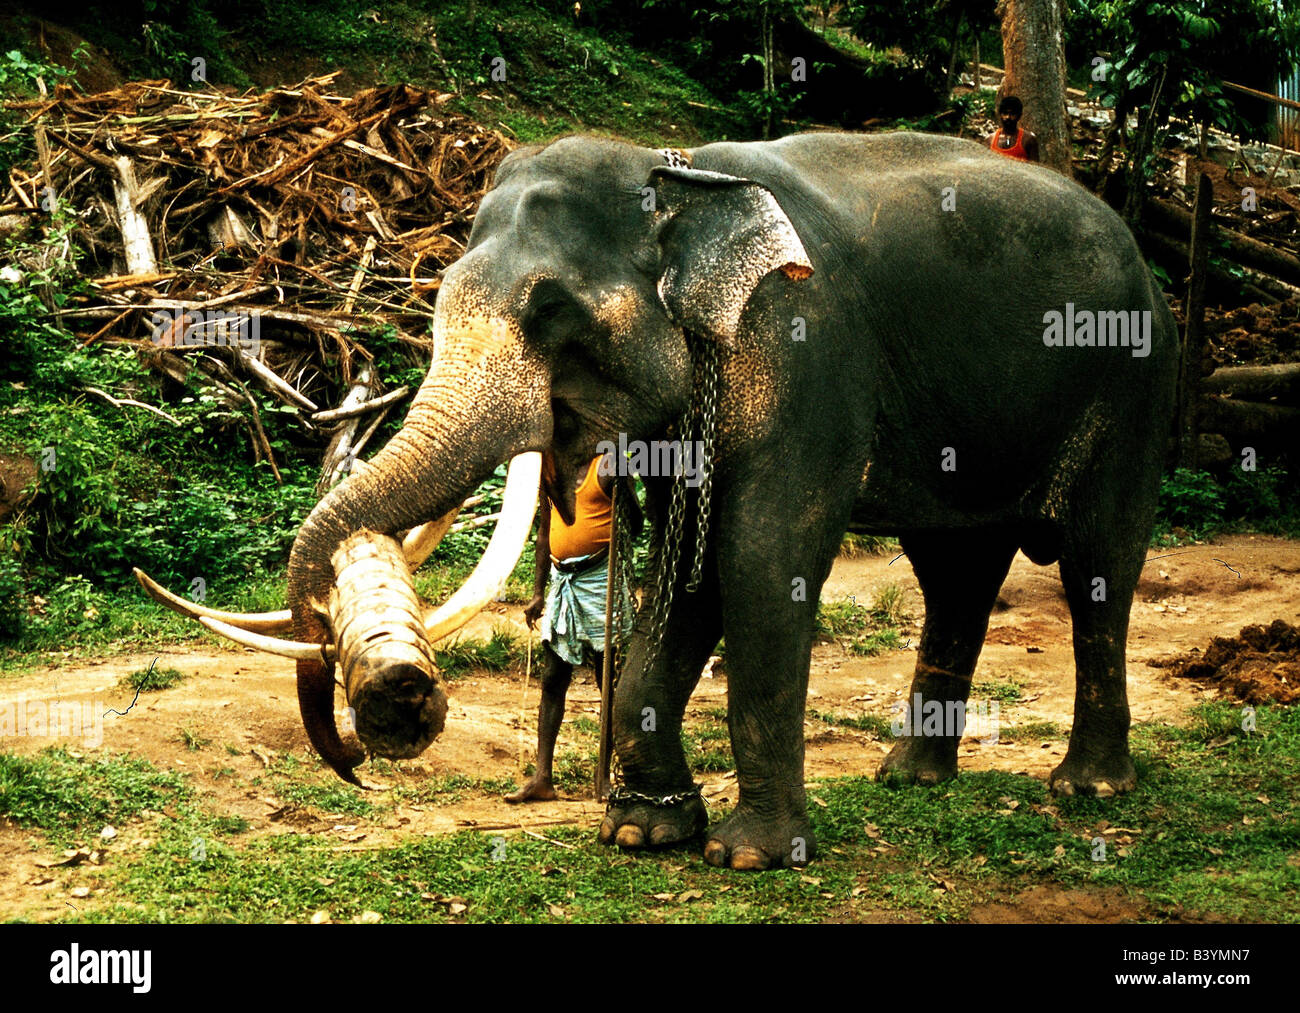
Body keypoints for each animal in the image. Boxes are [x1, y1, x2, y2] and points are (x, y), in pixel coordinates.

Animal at [147, 129, 1179, 871]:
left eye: (550, 310)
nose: (370, 747)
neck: (680, 172)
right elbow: (695, 574)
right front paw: (642, 834)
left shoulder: (808, 351)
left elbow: (761, 559)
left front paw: (750, 857)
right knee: (956, 572)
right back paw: (911, 778)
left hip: (1131, 383)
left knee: (1097, 564)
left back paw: (1089, 790)